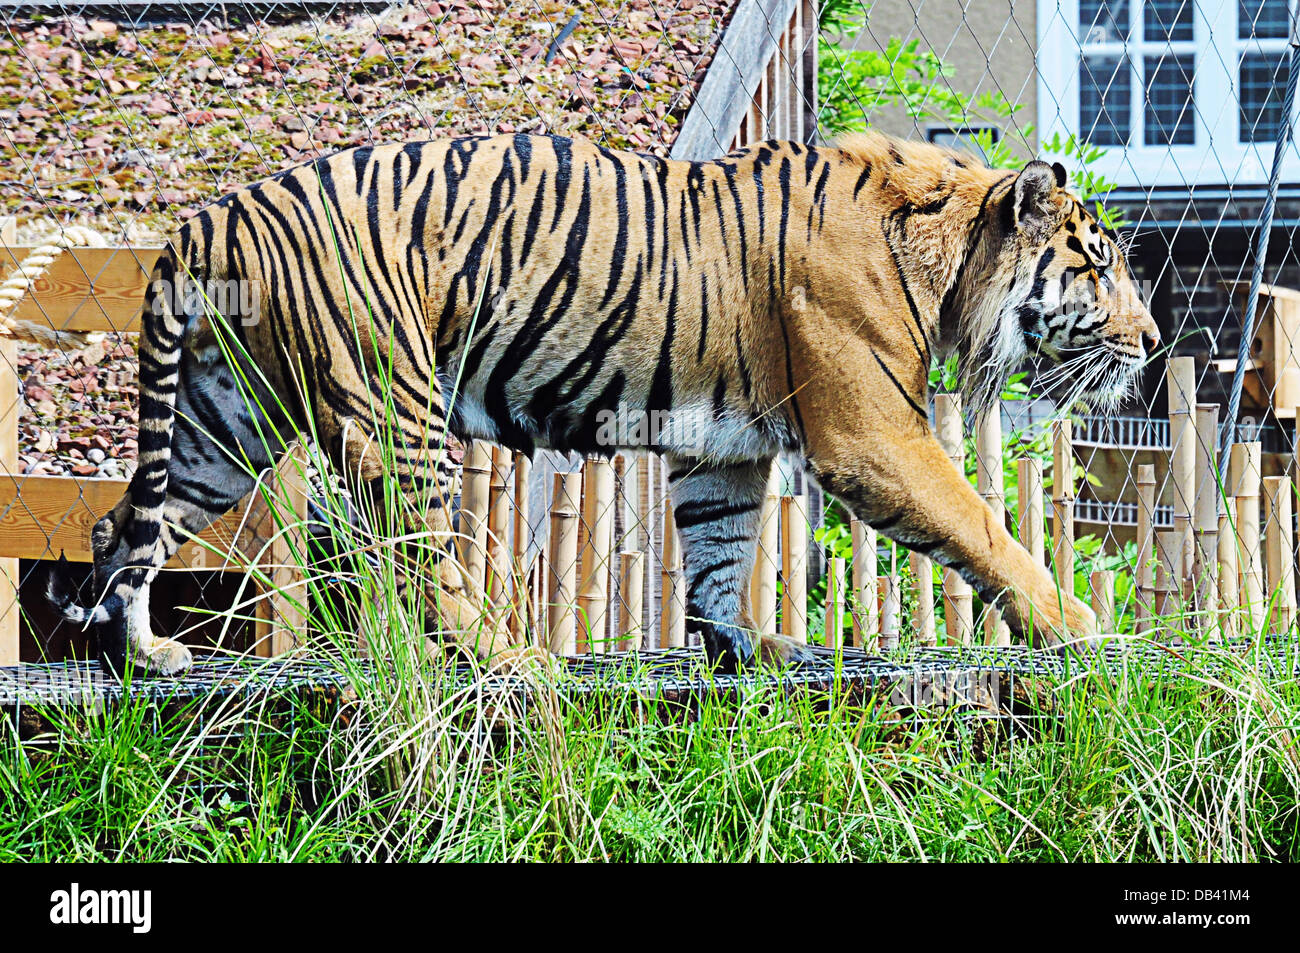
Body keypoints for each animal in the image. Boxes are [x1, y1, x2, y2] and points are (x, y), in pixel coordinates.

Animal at [44, 131, 1160, 677]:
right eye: (1098, 266)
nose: (1152, 342)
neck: (947, 255)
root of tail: (204, 216)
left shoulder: (724, 449)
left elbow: (720, 551)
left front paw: (748, 648)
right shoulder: (872, 432)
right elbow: (983, 527)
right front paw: (1080, 628)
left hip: (220, 422)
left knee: (122, 525)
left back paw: (141, 653)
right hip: (391, 403)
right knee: (422, 561)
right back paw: (513, 658)